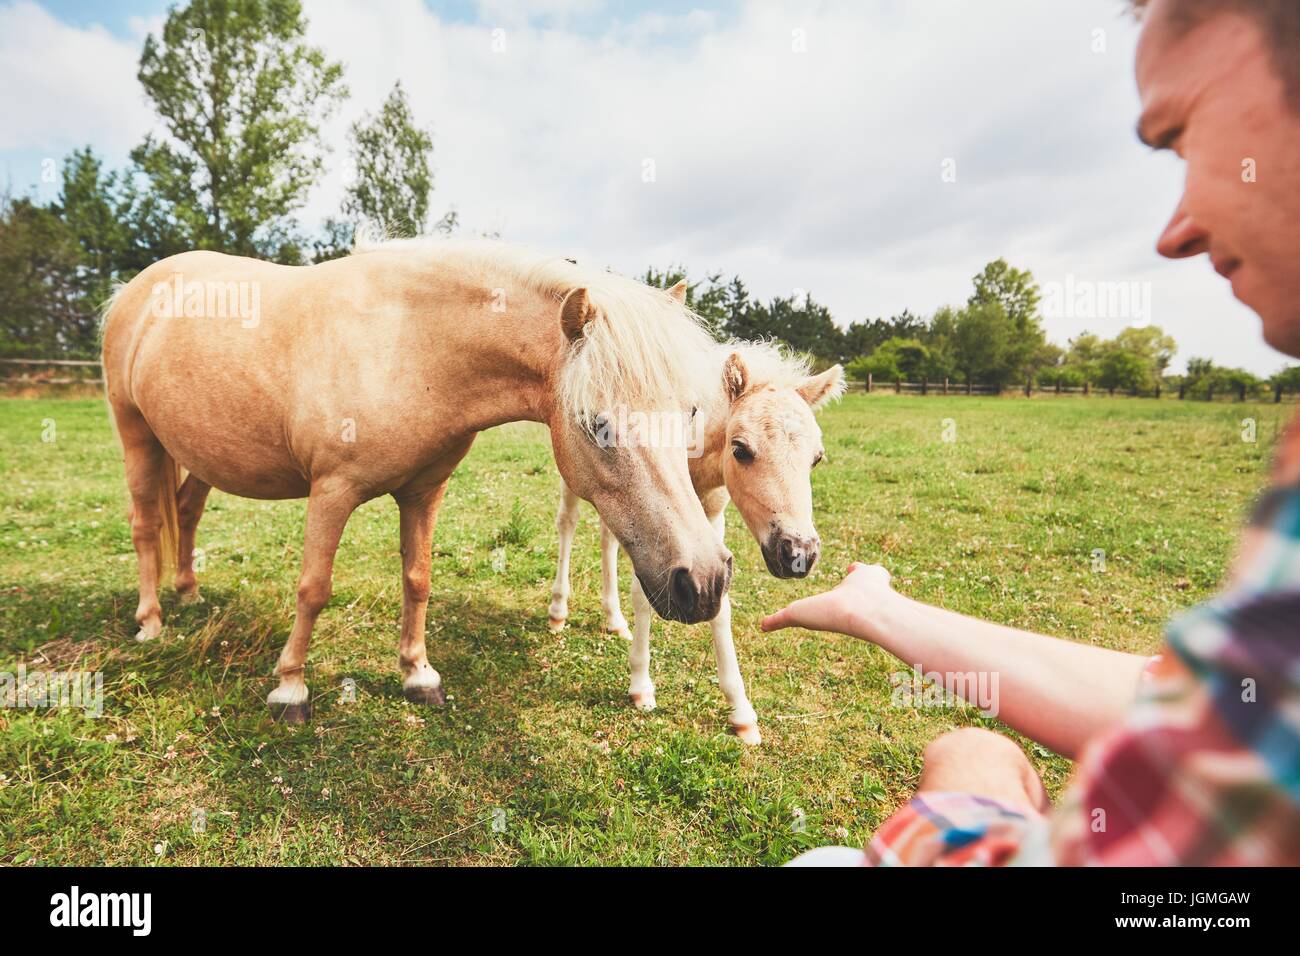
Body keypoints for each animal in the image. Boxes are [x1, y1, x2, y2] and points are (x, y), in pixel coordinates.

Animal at [100, 238, 733, 722]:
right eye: (598, 425)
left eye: (689, 414)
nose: (703, 582)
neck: (409, 345)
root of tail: (133, 292)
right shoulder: (331, 492)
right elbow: (313, 589)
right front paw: (290, 688)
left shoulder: (425, 491)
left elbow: (418, 579)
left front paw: (418, 675)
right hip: (136, 436)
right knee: (145, 523)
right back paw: (151, 621)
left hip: (195, 452)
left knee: (185, 512)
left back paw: (189, 592)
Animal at [547, 336, 844, 744]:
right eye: (740, 449)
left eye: (816, 458)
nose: (799, 553)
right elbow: (644, 594)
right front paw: (640, 684)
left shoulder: (709, 520)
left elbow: (720, 601)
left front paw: (741, 712)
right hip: (578, 475)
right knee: (568, 523)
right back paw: (558, 611)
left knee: (608, 538)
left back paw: (614, 619)